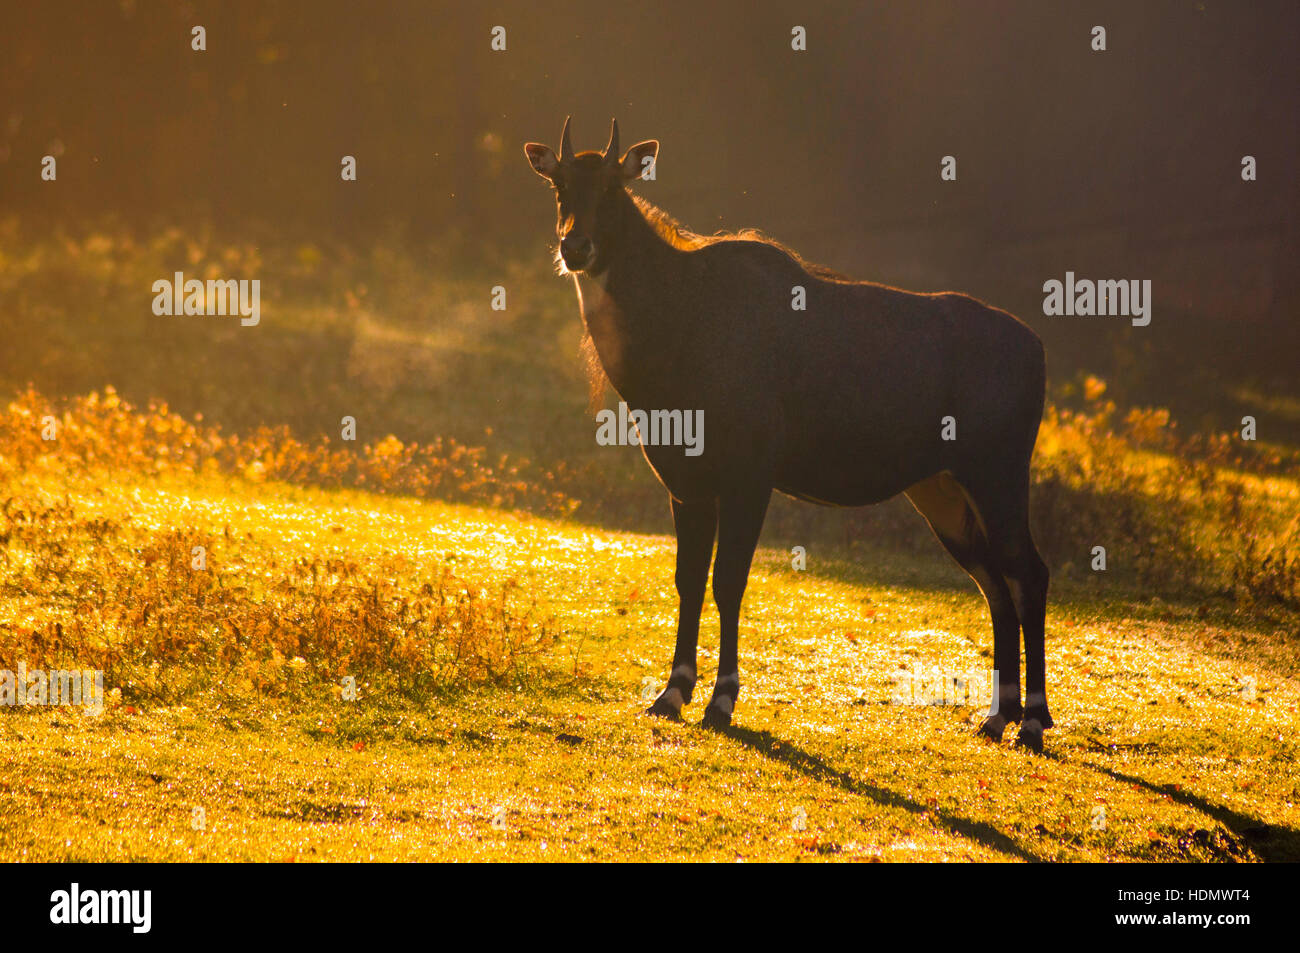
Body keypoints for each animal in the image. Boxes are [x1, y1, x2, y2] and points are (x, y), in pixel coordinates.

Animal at [525, 118, 1053, 750]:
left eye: (612, 187)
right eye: (559, 186)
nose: (574, 246)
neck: (675, 327)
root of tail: (1039, 350)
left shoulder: (750, 473)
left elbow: (728, 581)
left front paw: (722, 701)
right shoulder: (685, 481)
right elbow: (687, 581)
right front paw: (671, 693)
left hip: (999, 472)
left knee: (1030, 574)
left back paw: (1033, 721)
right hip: (942, 492)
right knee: (996, 584)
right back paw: (997, 716)